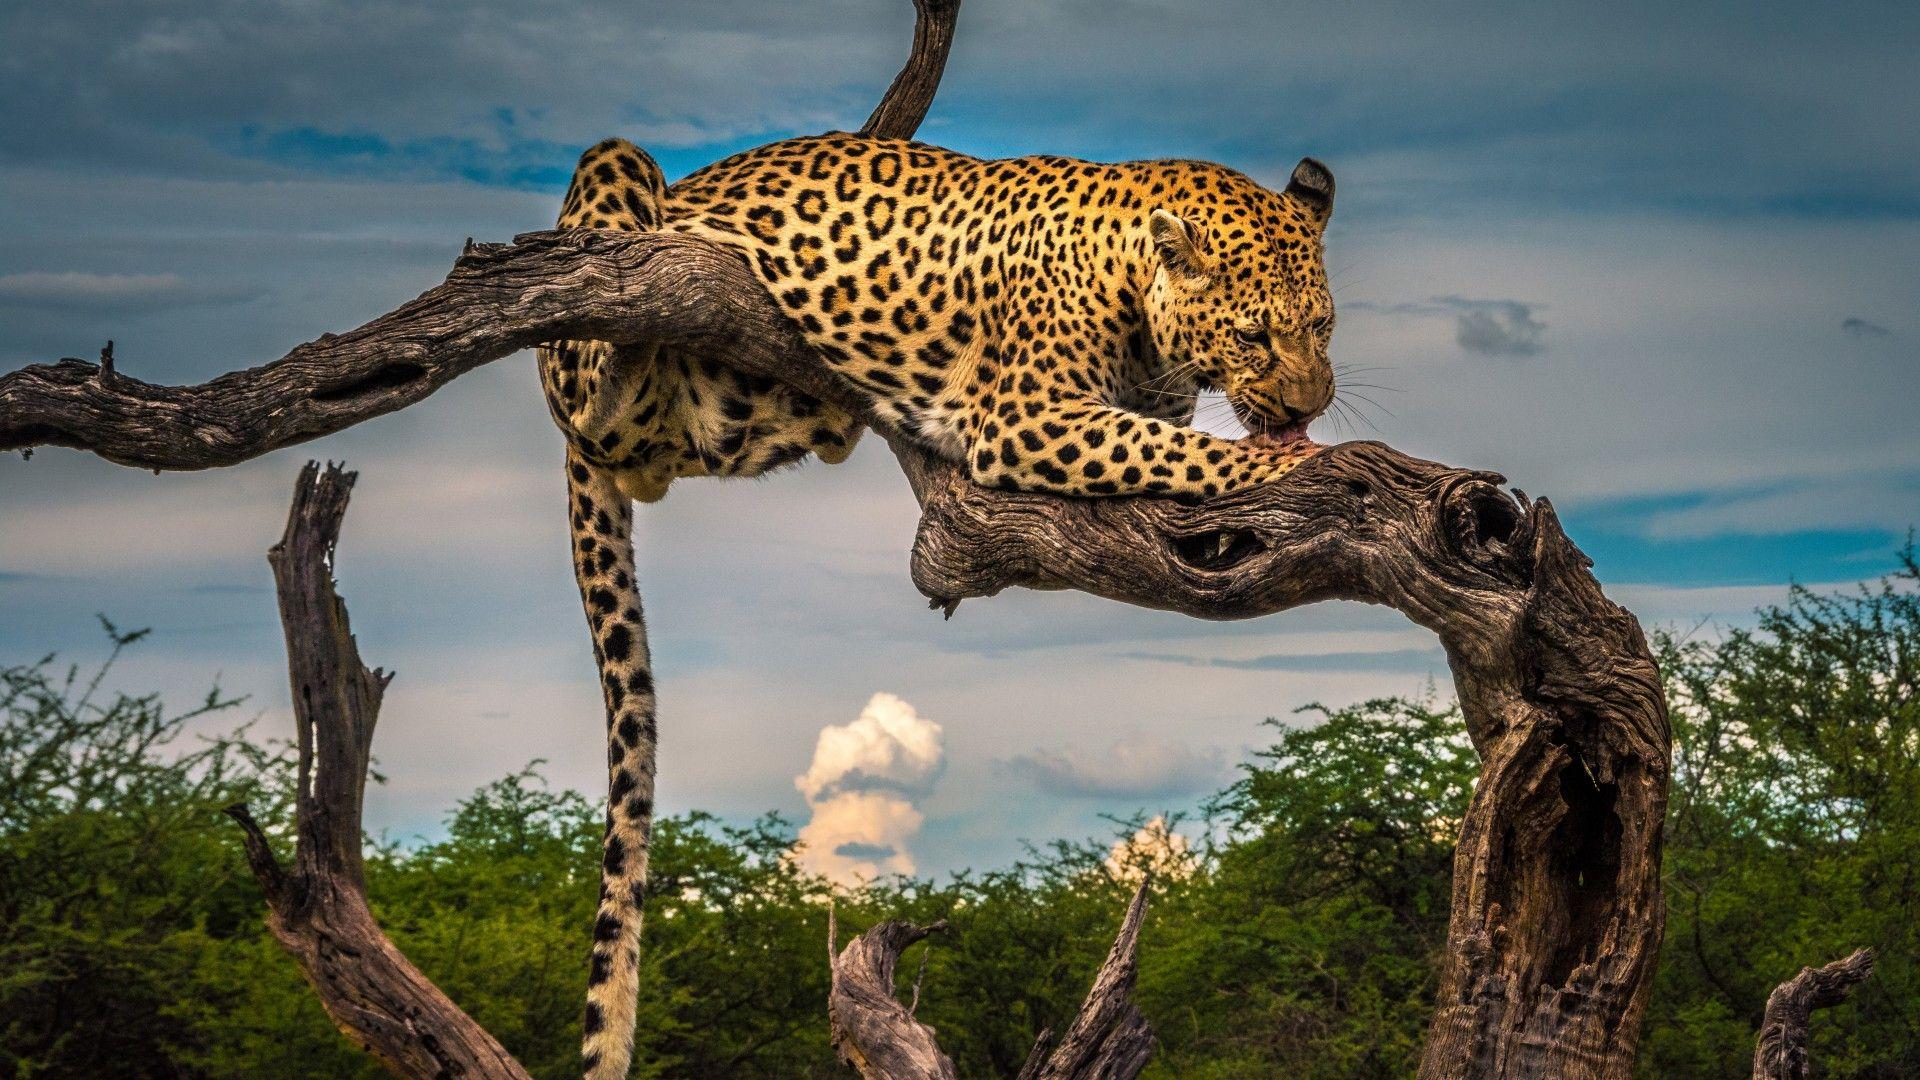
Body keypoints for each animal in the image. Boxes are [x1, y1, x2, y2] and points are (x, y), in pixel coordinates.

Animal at [538, 130, 1338, 1079]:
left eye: (1323, 326)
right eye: (1254, 334)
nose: (1312, 402)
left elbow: (1175, 465)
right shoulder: (1030, 417)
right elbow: (1179, 450)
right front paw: (1301, 460)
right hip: (611, 206)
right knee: (594, 372)